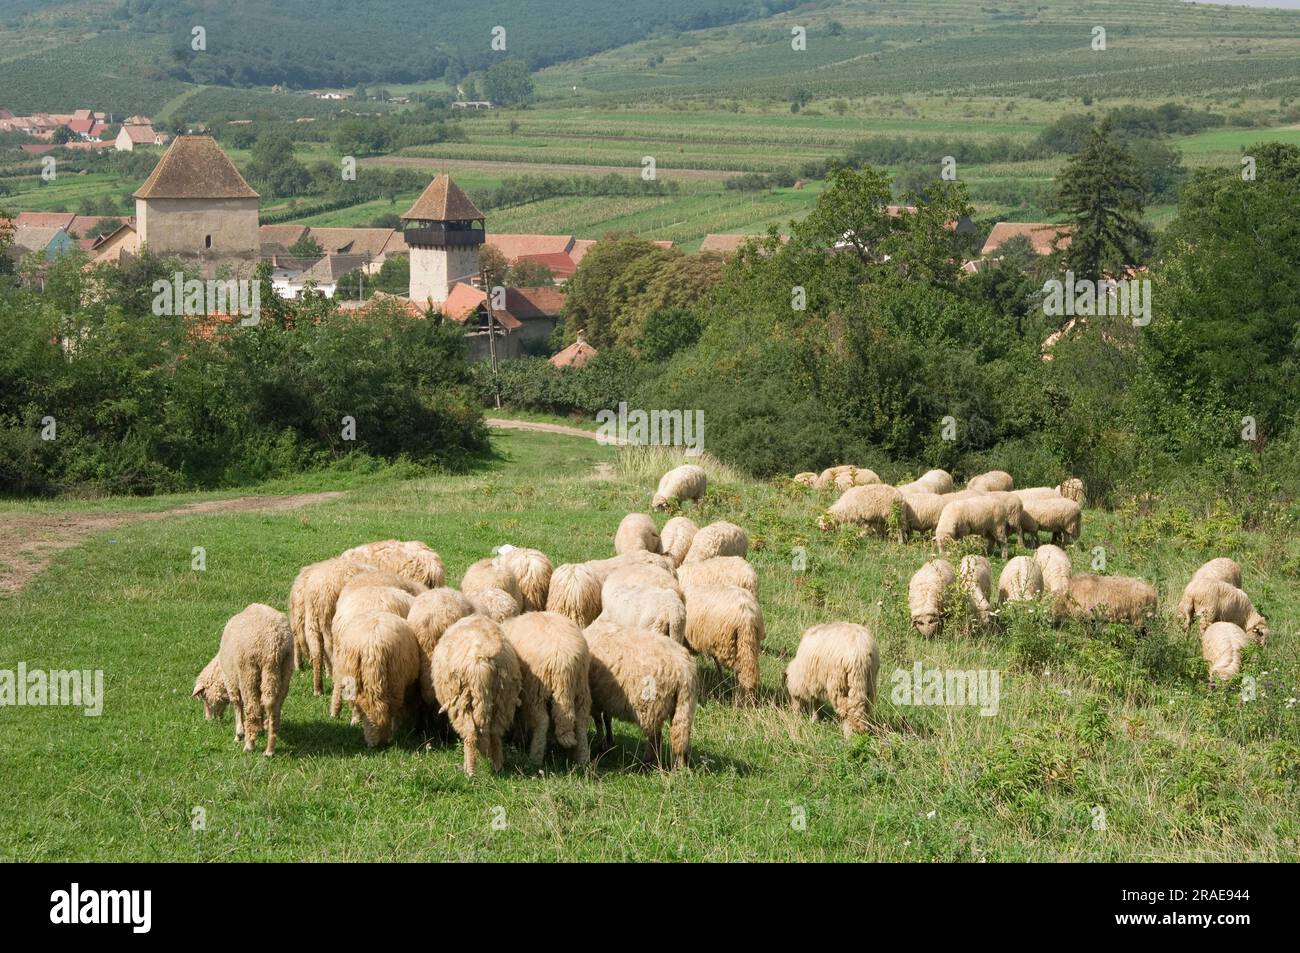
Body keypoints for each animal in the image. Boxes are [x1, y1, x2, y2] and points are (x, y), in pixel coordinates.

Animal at [192, 603, 294, 756]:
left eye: (204, 697)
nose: (208, 720)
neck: (220, 672)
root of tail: (274, 643)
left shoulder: (232, 681)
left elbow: (237, 704)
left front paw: (239, 734)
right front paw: (260, 728)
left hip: (248, 675)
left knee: (252, 710)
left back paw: (249, 745)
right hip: (283, 672)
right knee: (274, 709)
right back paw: (269, 749)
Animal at [329, 611, 421, 745]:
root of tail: (372, 648)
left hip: (356, 678)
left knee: (364, 704)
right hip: (395, 680)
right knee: (388, 708)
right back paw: (385, 734)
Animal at [432, 615, 522, 776]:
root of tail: (481, 665)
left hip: (462, 702)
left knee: (470, 735)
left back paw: (470, 771)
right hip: (504, 698)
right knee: (495, 734)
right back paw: (498, 767)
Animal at [501, 612, 592, 766]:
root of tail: (563, 663)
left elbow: (519, 719)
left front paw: (518, 739)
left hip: (536, 692)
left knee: (542, 721)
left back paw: (535, 758)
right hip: (581, 689)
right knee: (580, 721)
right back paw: (583, 759)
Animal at [583, 621, 697, 769]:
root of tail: (682, 670)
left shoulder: (595, 700)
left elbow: (598, 721)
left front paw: (601, 744)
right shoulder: (606, 697)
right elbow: (606, 719)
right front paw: (608, 741)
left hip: (650, 707)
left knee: (656, 737)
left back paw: (646, 763)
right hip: (684, 705)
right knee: (681, 736)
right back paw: (680, 767)